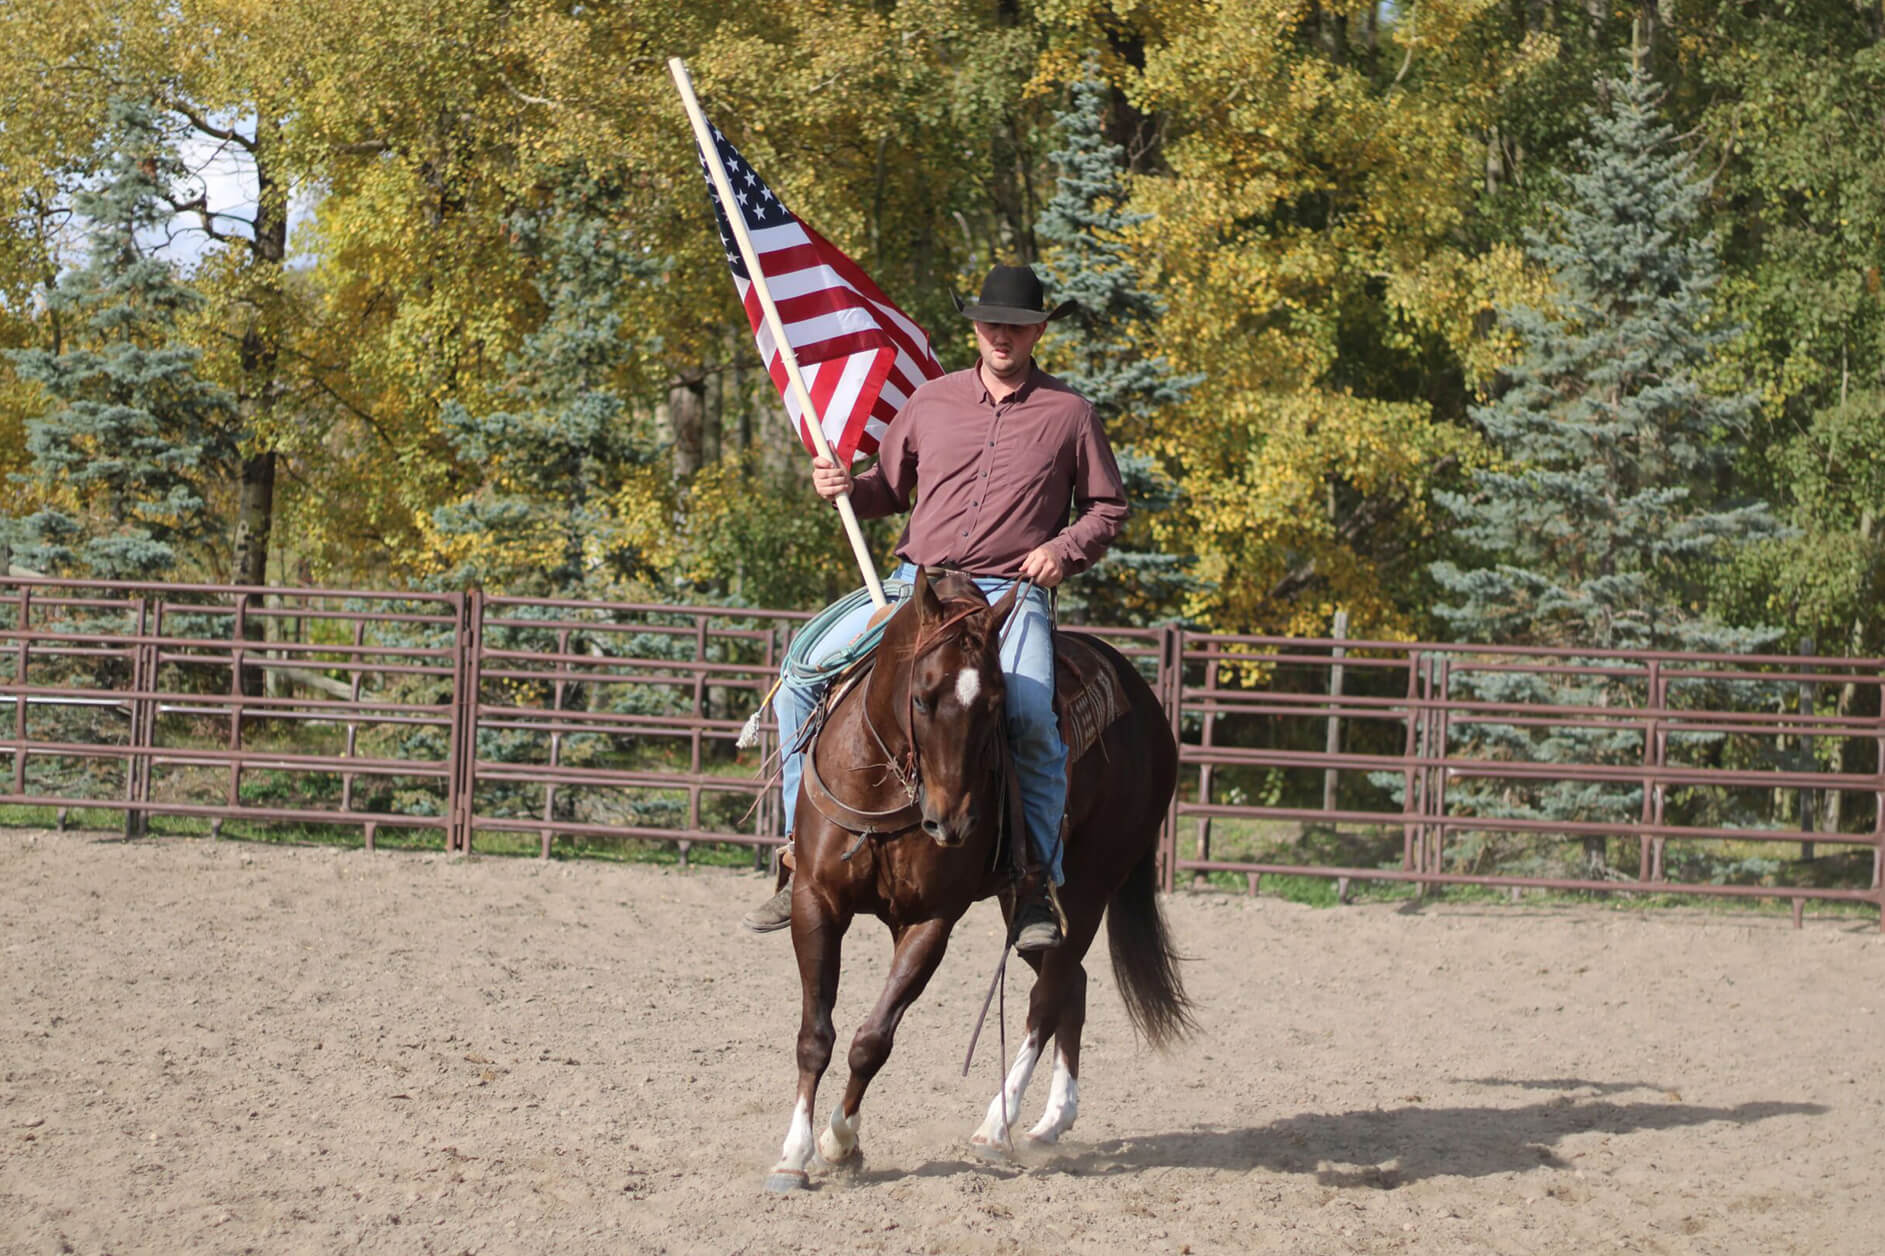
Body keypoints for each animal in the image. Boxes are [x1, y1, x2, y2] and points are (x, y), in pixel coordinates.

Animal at [765, 566, 1194, 1192]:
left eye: (996, 704)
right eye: (922, 697)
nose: (954, 822)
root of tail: (1151, 711)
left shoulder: (931, 921)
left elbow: (872, 1039)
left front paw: (841, 1144)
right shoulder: (816, 902)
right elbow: (815, 1036)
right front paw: (793, 1154)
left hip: (1089, 887)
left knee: (1048, 995)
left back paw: (997, 1126)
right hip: (1024, 903)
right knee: (1073, 984)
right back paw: (1051, 1122)